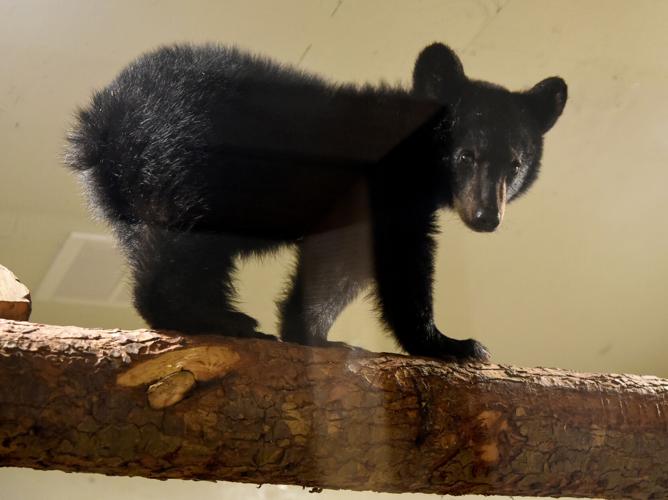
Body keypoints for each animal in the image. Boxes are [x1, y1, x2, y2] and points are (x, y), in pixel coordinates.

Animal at [65, 42, 567, 361]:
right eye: (466, 155)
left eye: (515, 164)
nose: (487, 216)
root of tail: (102, 120)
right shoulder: (383, 185)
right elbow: (398, 263)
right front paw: (449, 344)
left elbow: (340, 264)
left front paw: (313, 336)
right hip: (189, 161)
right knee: (183, 240)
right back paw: (215, 317)